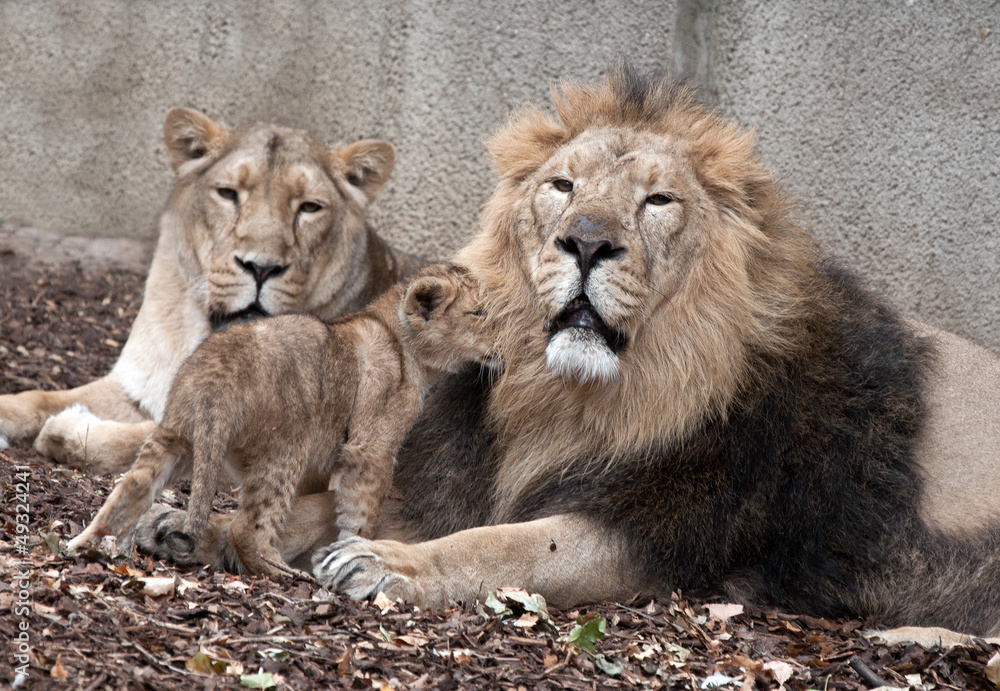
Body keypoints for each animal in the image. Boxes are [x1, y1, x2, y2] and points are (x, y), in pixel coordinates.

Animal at [0, 108, 423, 474]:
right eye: (228, 193)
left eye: (309, 207)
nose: (262, 267)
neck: (202, 330)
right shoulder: (134, 388)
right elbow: (40, 396)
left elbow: (154, 435)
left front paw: (69, 431)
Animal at [68, 263, 494, 577]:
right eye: (479, 314)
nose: (503, 343)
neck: (399, 338)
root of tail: (215, 378)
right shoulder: (370, 449)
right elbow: (361, 510)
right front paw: (354, 547)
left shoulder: (322, 460)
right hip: (284, 448)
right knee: (246, 526)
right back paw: (281, 573)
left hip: (179, 433)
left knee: (135, 482)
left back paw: (88, 542)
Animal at [141, 67, 1000, 637]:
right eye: (562, 186)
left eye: (658, 200)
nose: (586, 241)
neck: (573, 397)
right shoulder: (461, 479)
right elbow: (313, 509)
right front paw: (193, 521)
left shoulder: (654, 531)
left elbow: (513, 545)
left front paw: (387, 565)